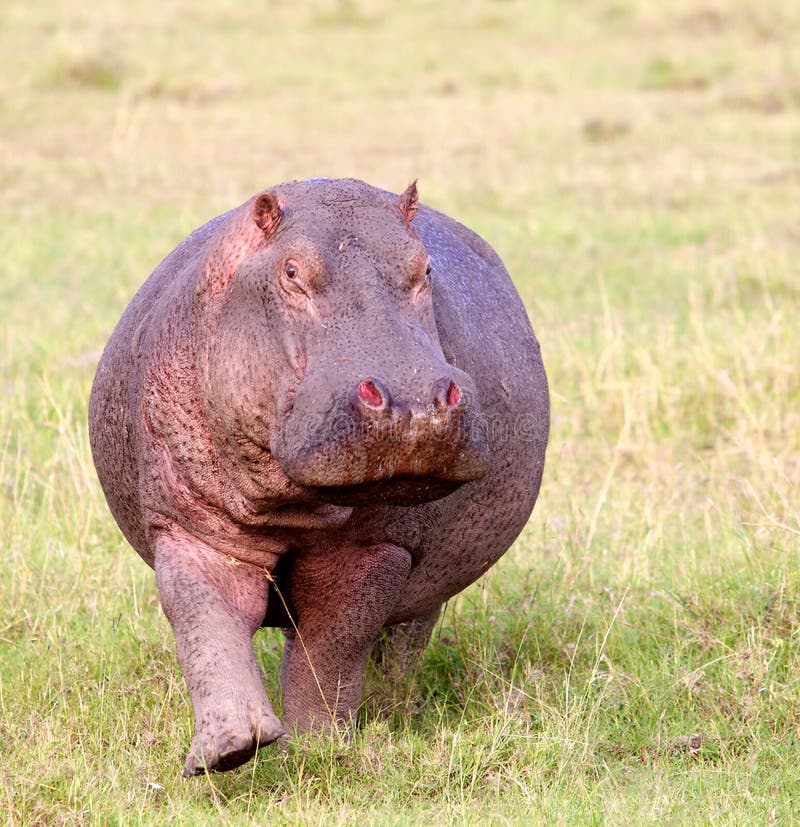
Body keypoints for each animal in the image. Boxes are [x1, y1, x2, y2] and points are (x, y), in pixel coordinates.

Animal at [88, 178, 549, 776]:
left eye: (425, 267)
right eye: (290, 271)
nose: (413, 402)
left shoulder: (376, 547)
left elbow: (332, 649)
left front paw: (318, 747)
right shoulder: (190, 527)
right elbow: (203, 618)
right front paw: (228, 751)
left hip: (431, 576)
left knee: (404, 638)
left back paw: (391, 712)